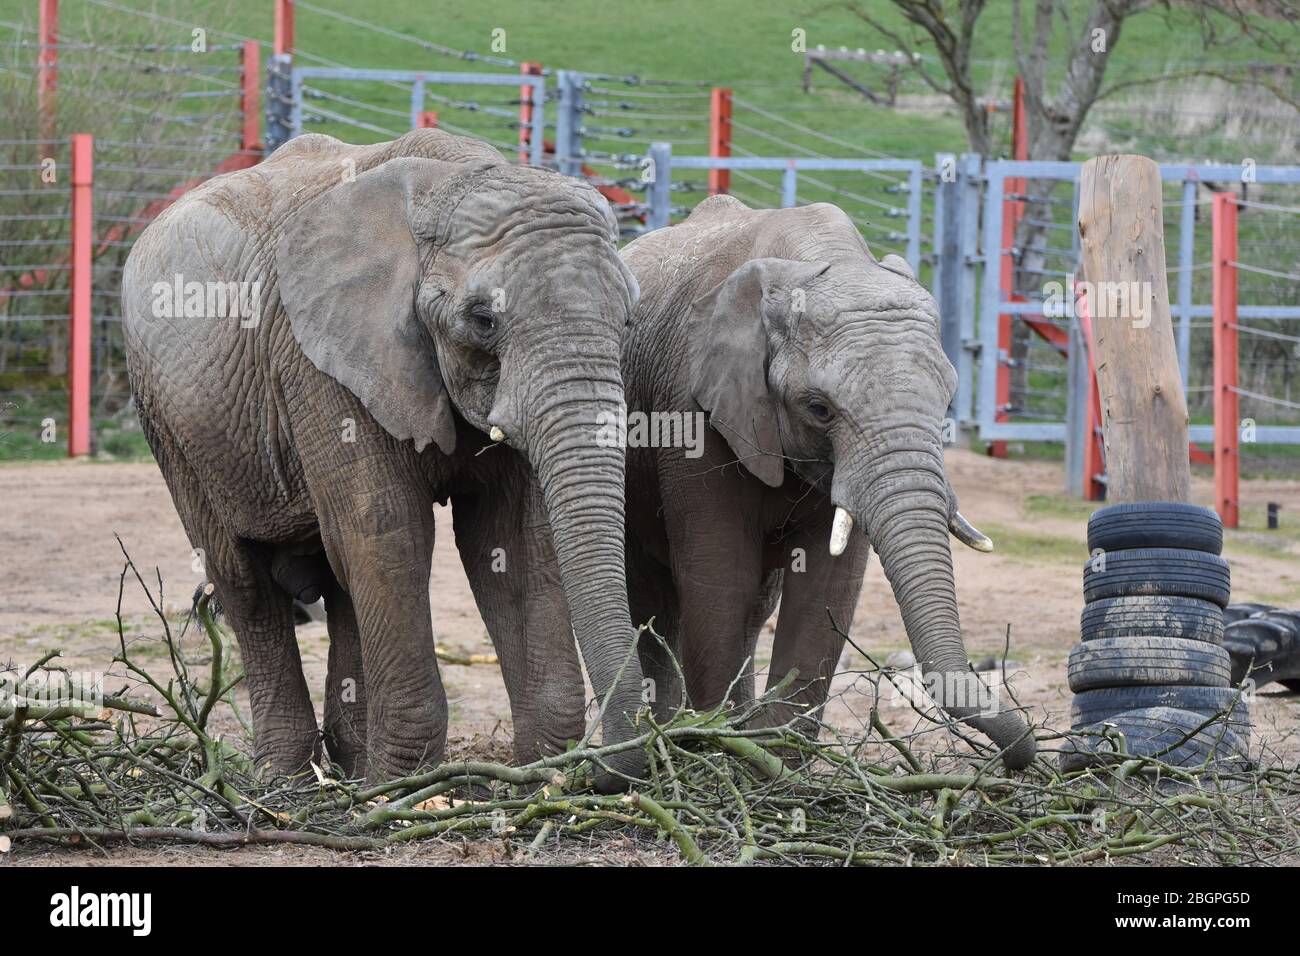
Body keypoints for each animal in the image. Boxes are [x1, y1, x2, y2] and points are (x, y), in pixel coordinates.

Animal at [122, 129, 647, 786]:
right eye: (483, 318)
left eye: (628, 317)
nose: (604, 772)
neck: (449, 182)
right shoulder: (318, 363)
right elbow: (389, 529)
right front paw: (408, 788)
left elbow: (510, 541)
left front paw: (539, 775)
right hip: (168, 423)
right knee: (246, 581)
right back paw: (291, 783)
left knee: (340, 578)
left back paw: (350, 772)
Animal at [617, 194, 1036, 770]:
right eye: (818, 408)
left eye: (948, 401)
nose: (1021, 752)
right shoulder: (689, 408)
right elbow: (719, 575)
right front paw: (728, 753)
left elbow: (828, 587)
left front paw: (773, 763)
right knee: (656, 603)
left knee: (755, 607)